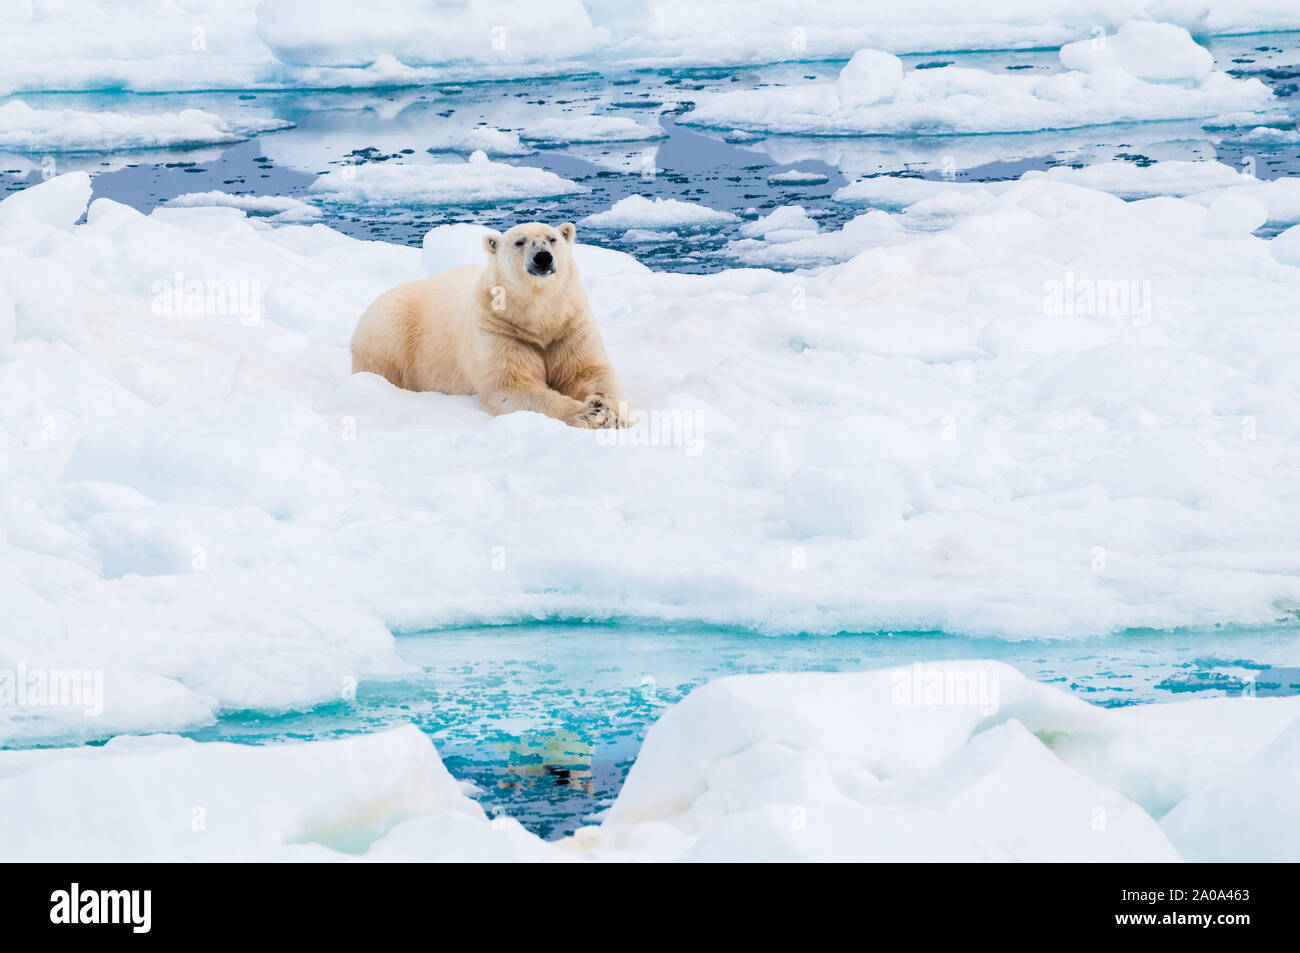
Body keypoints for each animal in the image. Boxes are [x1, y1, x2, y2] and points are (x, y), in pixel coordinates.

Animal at [350, 221, 626, 428]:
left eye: (552, 238)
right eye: (520, 241)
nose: (543, 258)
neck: (538, 315)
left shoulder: (568, 327)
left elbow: (589, 372)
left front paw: (609, 410)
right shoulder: (500, 329)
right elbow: (511, 385)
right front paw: (588, 414)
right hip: (391, 326)